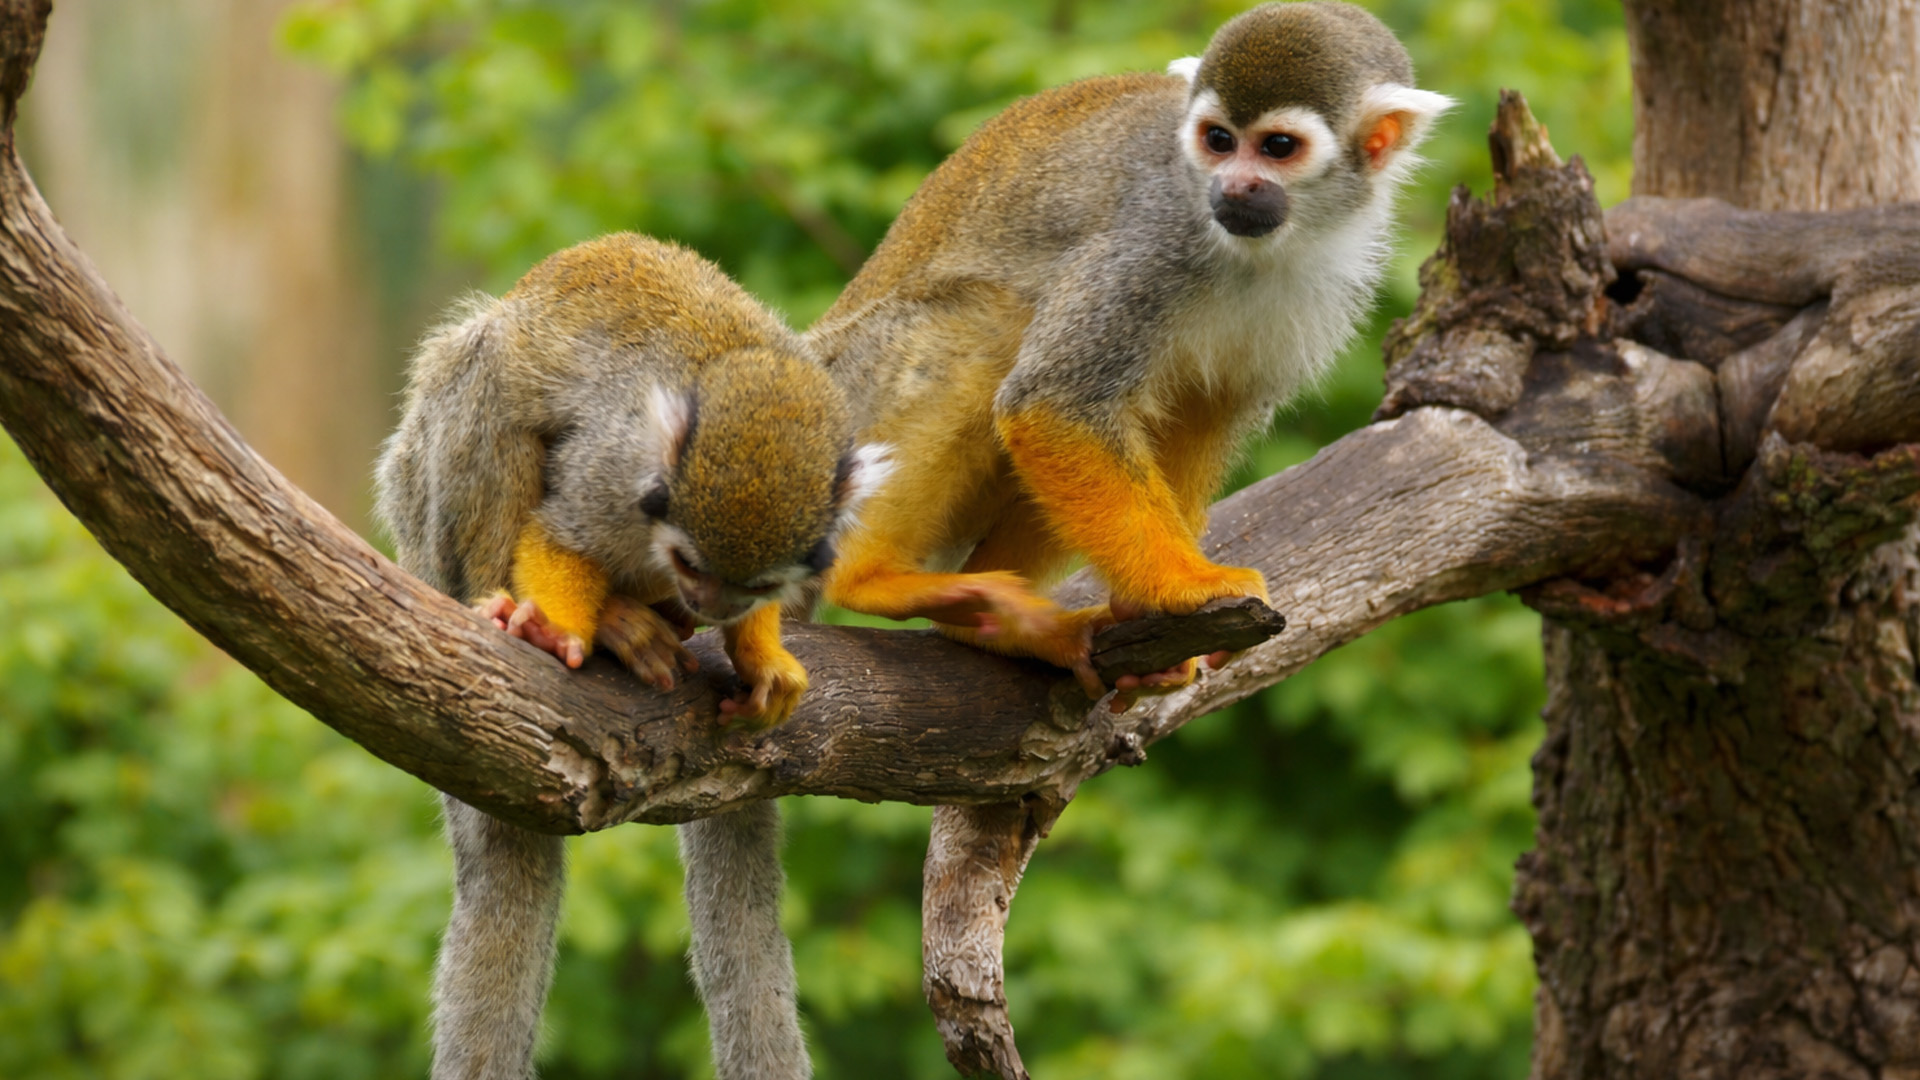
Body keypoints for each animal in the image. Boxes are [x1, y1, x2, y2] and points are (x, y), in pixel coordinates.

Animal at [375, 233, 888, 1080]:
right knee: (485, 374)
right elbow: (559, 532)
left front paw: (760, 653)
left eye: (751, 586)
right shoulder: (618, 473)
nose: (709, 603)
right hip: (421, 512)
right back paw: (558, 611)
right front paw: (558, 625)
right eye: (691, 563)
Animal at [807, 1, 1451, 709]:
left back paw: (986, 627)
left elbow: (1201, 413)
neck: (1266, 244)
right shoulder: (1148, 238)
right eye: (1218, 140)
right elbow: (1053, 405)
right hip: (840, 410)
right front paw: (1188, 583)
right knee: (985, 325)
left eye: (1278, 147)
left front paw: (1153, 608)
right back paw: (870, 579)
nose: (1234, 188)